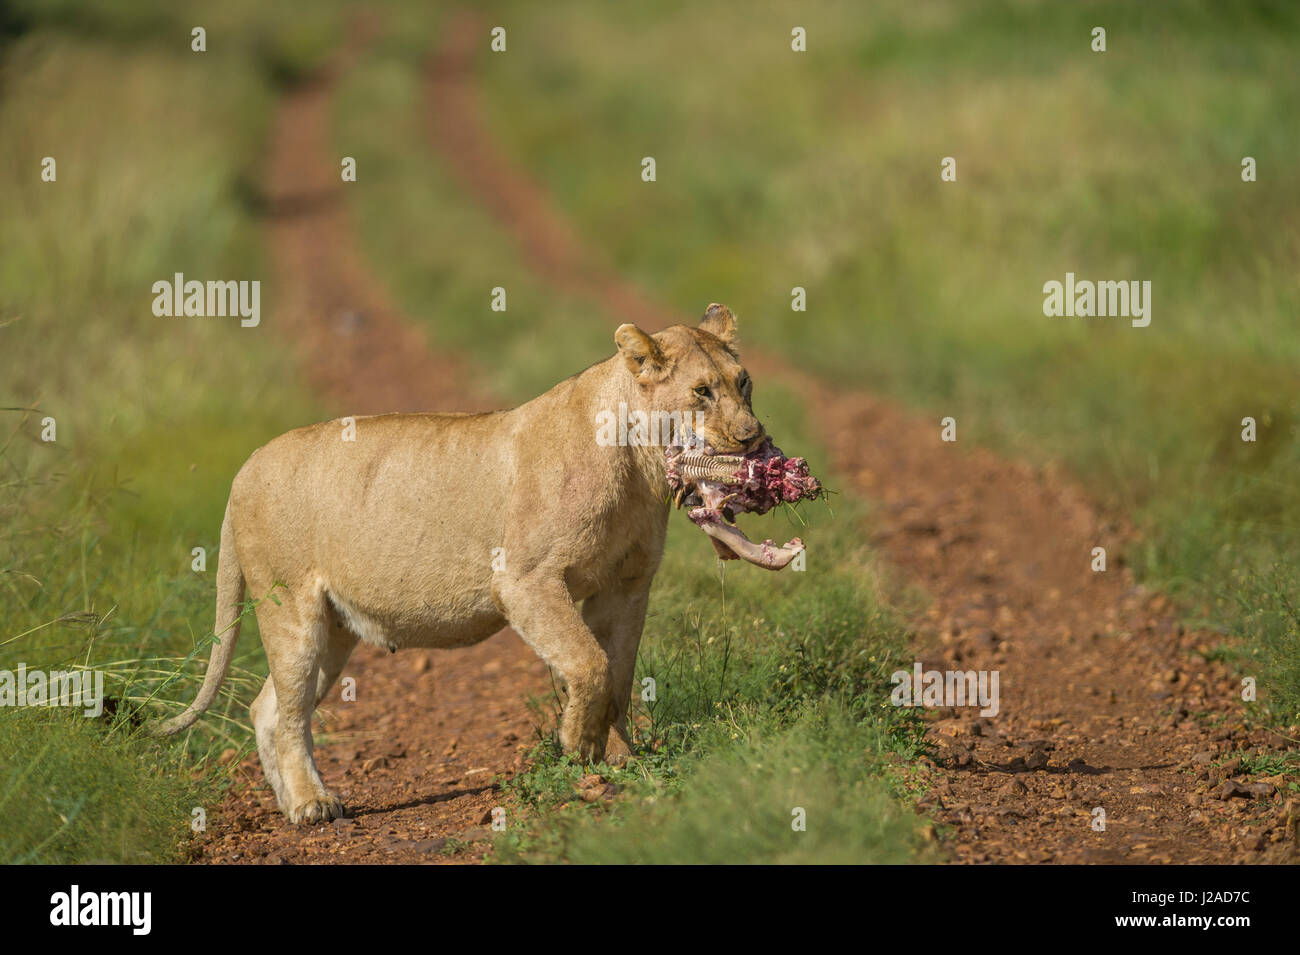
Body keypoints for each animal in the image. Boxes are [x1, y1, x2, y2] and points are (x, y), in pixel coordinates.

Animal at [155, 304, 773, 823]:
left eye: (743, 382)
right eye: (701, 391)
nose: (751, 437)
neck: (639, 464)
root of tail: (245, 467)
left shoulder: (626, 585)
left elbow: (618, 673)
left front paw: (618, 757)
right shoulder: (525, 581)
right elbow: (588, 665)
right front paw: (577, 746)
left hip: (334, 628)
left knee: (270, 707)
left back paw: (292, 804)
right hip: (291, 608)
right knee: (285, 714)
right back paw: (312, 806)